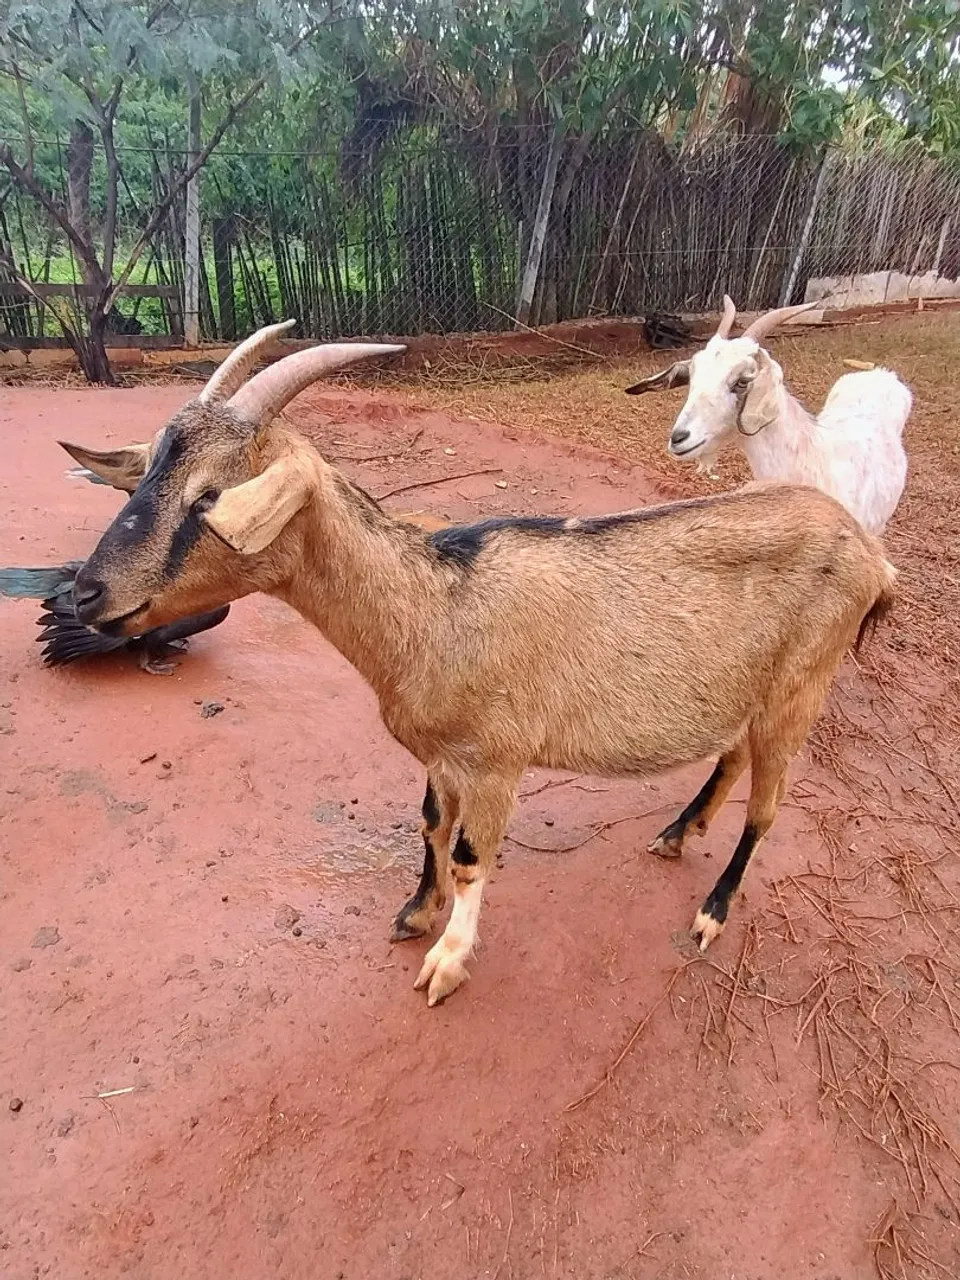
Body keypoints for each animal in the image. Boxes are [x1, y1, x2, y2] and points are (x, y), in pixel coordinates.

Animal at [69, 326, 896, 1008]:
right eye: (146, 473)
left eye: (209, 497)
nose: (84, 593)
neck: (433, 611)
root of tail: (870, 555)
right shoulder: (445, 758)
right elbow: (432, 824)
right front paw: (414, 912)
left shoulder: (498, 762)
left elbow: (471, 856)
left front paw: (446, 962)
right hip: (753, 686)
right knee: (731, 758)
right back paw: (674, 832)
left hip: (802, 686)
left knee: (767, 806)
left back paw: (711, 913)